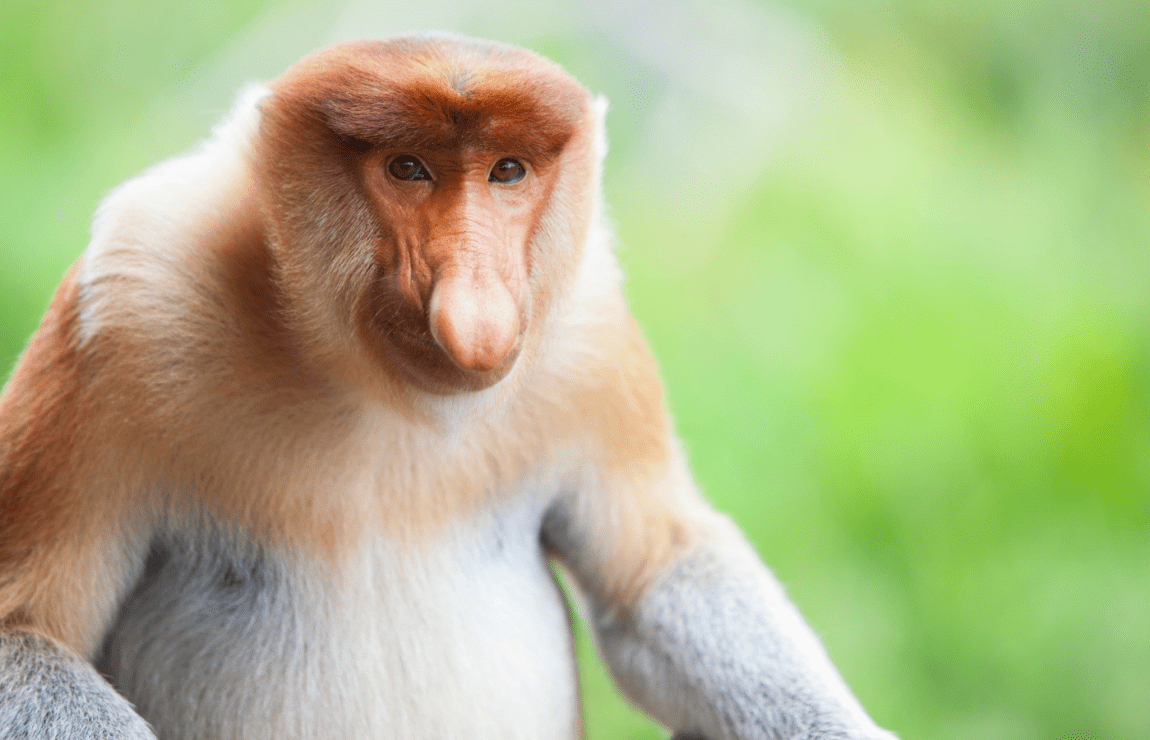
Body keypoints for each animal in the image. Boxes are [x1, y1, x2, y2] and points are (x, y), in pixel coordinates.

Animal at [0, 34, 897, 740]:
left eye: (508, 170)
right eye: (408, 169)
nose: (475, 311)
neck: (373, 387)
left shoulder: (592, 340)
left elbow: (655, 566)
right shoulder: (127, 307)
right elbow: (25, 630)